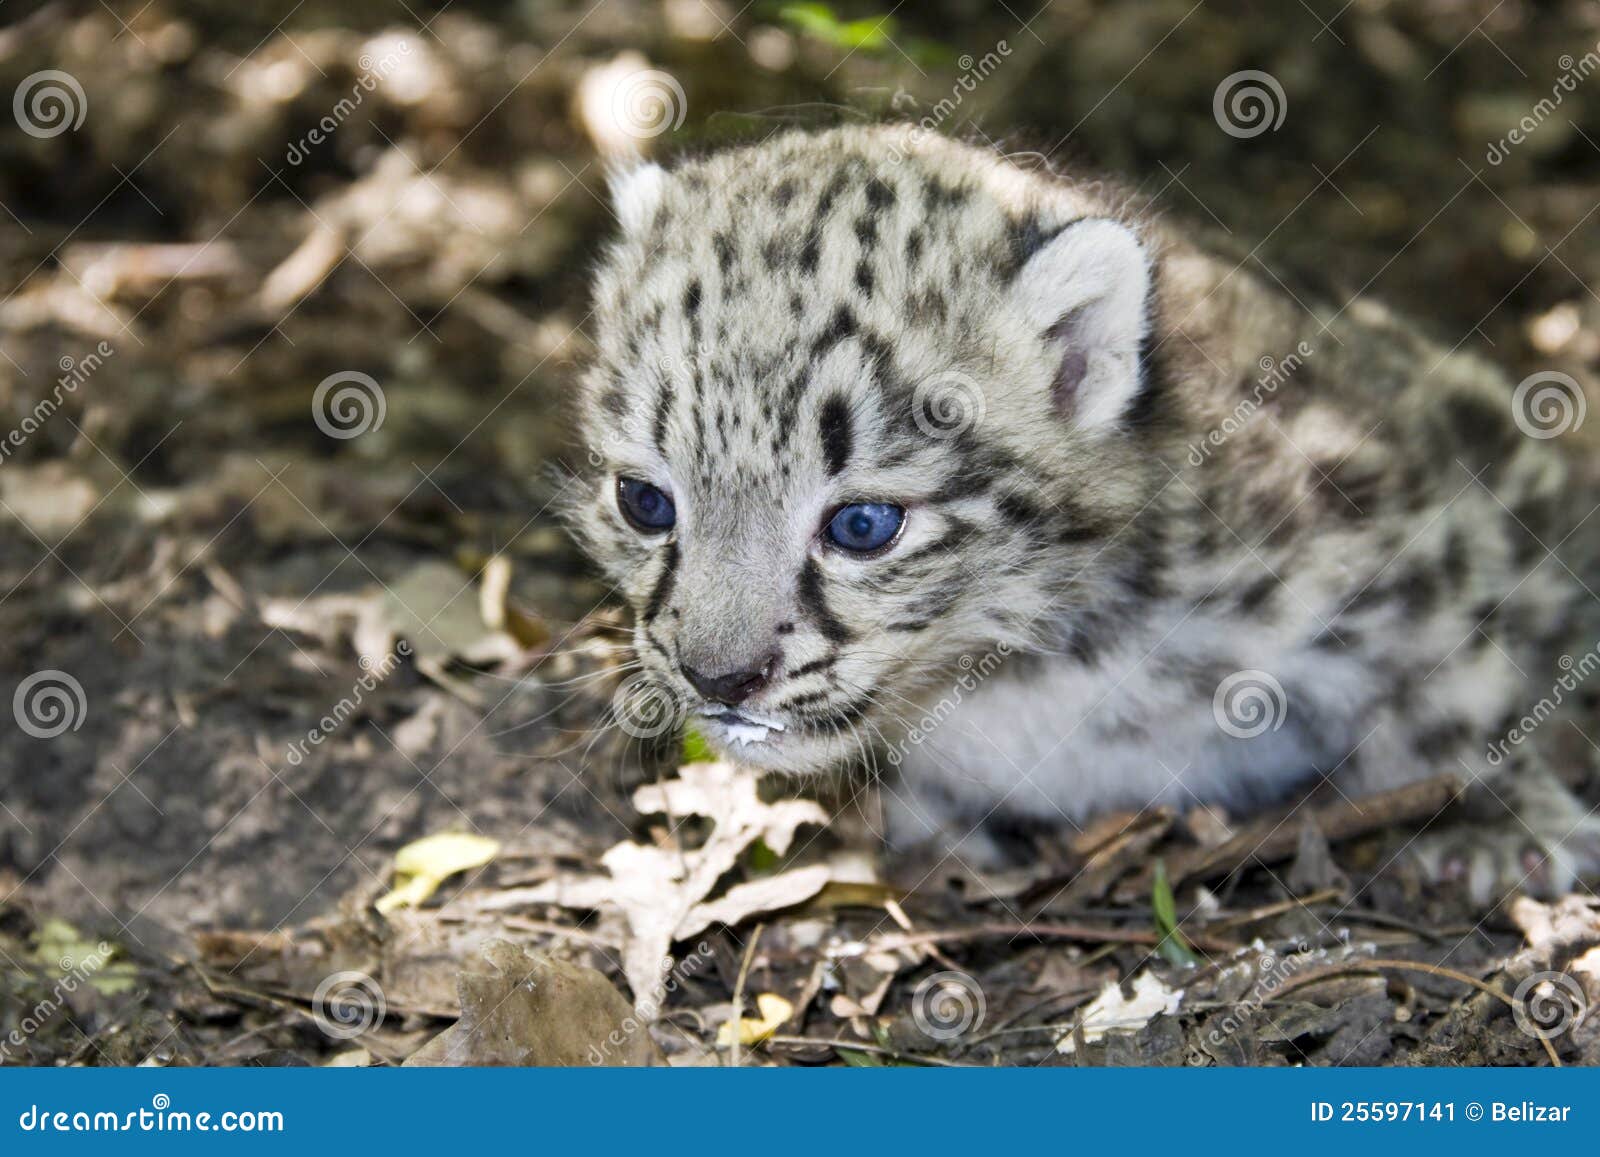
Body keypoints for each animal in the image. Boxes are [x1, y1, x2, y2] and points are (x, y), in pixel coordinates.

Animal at [564, 124, 1600, 903]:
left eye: (863, 525)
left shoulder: (1398, 537)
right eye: (645, 499)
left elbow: (1454, 689)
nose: (719, 675)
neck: (1021, 679)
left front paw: (1495, 820)